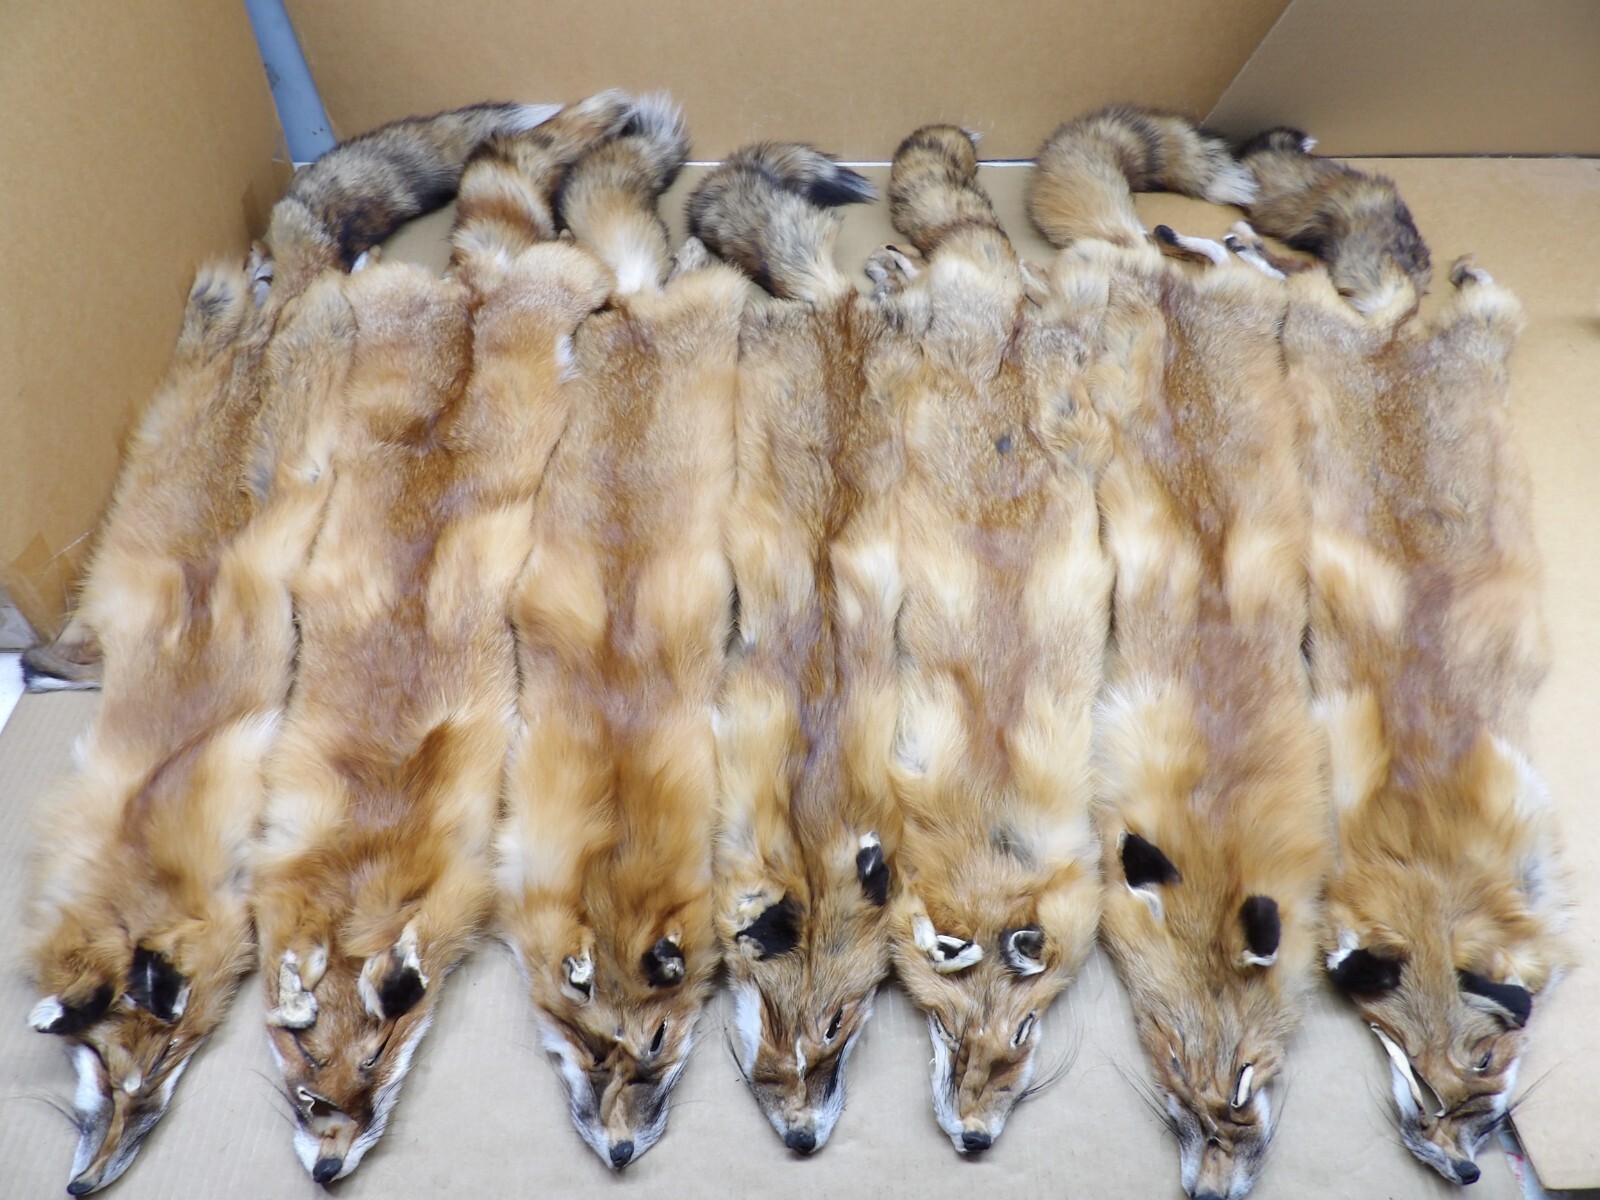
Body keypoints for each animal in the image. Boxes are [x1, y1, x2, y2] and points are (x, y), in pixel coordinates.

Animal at [248, 93, 629, 1186]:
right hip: (401, 309)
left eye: (371, 1078)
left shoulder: (464, 893)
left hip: (555, 287)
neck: (360, 868)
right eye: (306, 1091)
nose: (328, 1172)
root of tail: (470, 300)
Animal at [1029, 107, 1329, 1200]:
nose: (1207, 1188)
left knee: (1212, 253)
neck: (1220, 816)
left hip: (1205, 297)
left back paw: (1206, 240)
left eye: (1242, 1084)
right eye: (1170, 1075)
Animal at [1240, 143, 1569, 1185]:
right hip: (1316, 332)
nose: (1465, 1175)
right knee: (1334, 283)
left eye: (1485, 1081)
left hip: (1433, 338)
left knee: (1399, 289)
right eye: (1422, 1084)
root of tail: (1397, 354)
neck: (1436, 871)